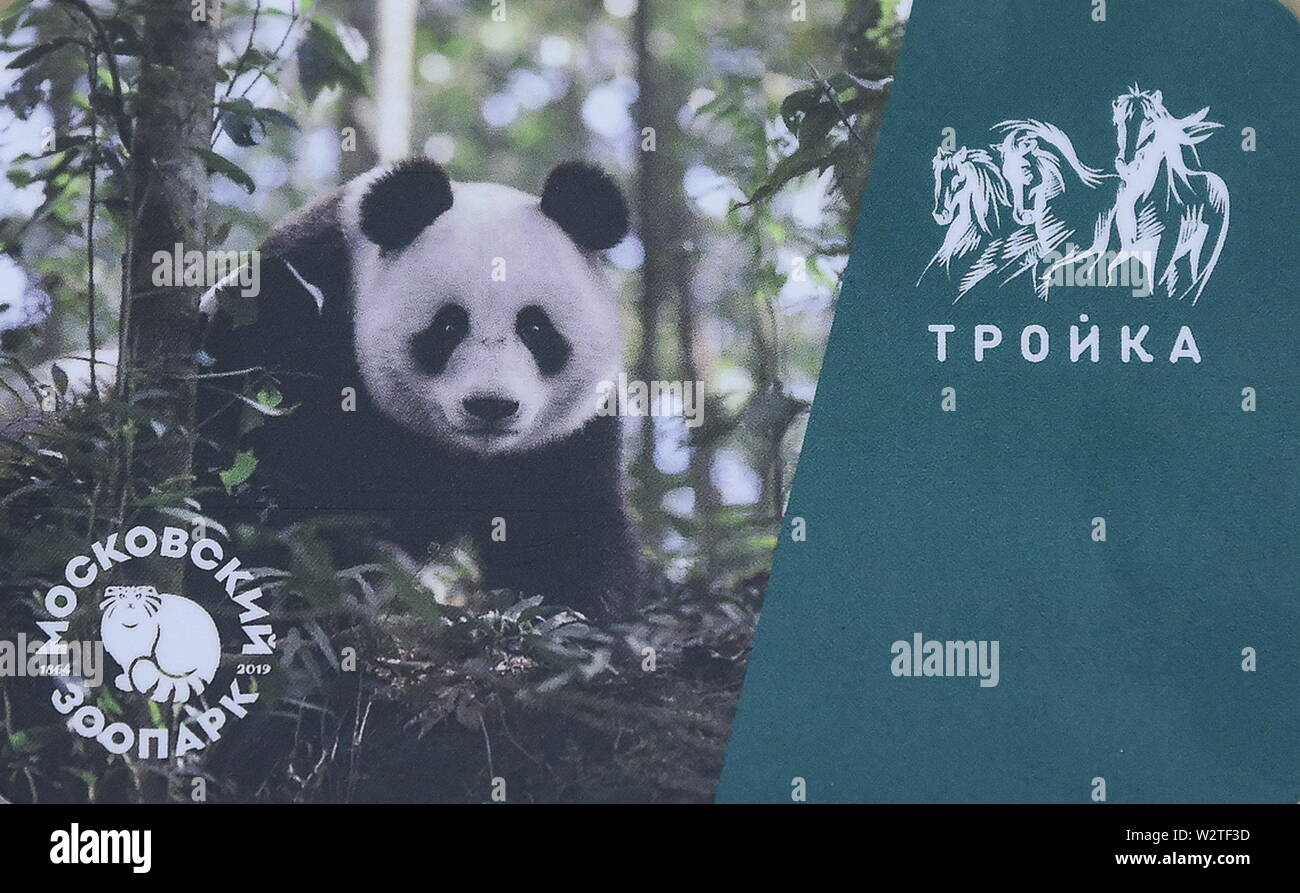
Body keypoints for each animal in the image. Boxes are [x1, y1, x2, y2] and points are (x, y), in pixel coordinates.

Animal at [198, 158, 643, 618]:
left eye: (535, 328)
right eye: (449, 326)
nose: (491, 405)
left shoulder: (566, 438)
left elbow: (564, 529)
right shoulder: (287, 316)